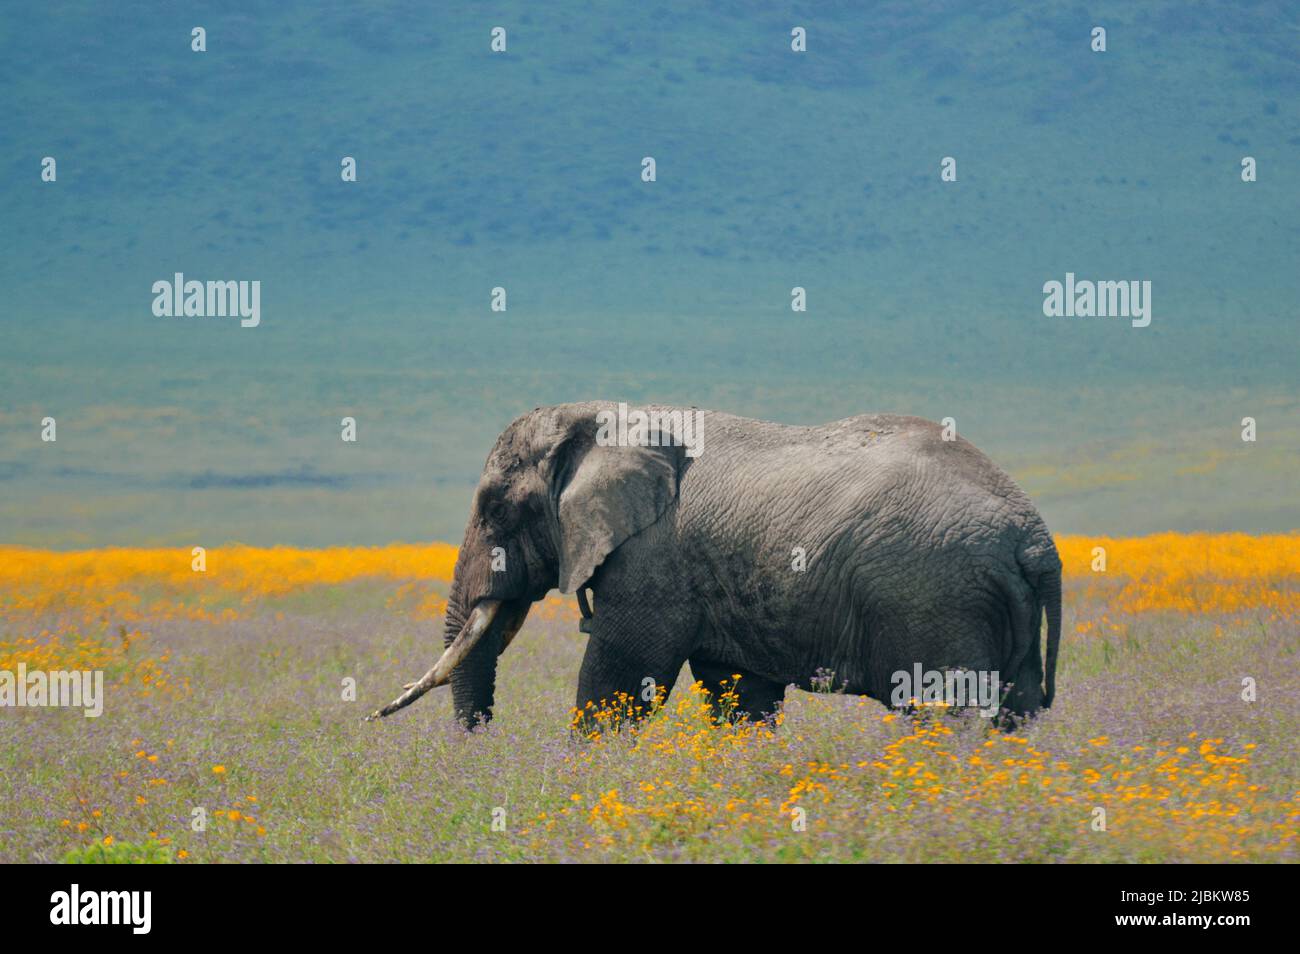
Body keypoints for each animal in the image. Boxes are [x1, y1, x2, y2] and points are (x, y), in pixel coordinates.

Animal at [369, 402, 1062, 729]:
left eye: (494, 508)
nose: (480, 746)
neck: (609, 416)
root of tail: (1036, 541)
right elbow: (739, 695)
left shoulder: (653, 559)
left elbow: (621, 676)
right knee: (1015, 714)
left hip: (936, 596)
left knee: (947, 714)